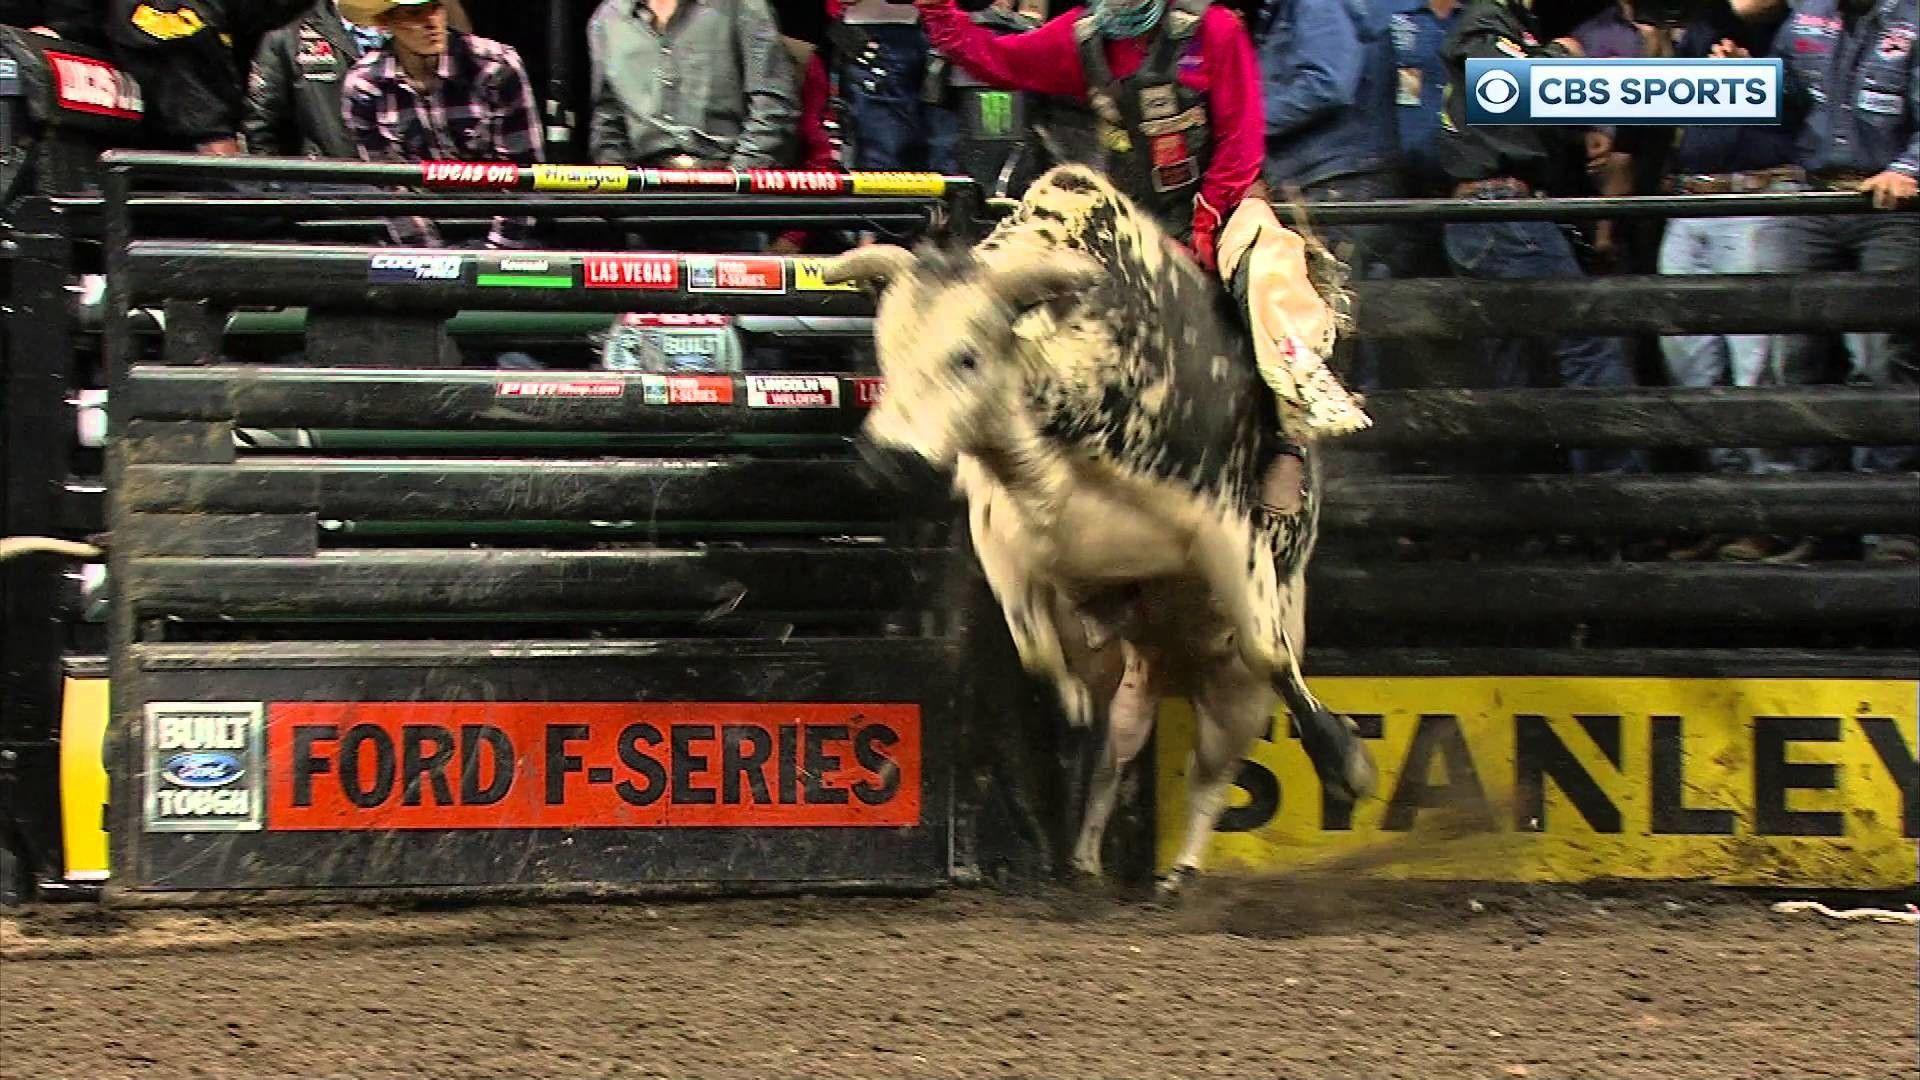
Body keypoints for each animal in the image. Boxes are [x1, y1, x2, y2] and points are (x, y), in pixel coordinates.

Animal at [824, 164, 1378, 894]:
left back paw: (1183, 871)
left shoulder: (1227, 530)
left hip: (1236, 682)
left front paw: (1348, 763)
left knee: (1215, 767)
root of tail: (1176, 657)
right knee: (1120, 751)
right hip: (1139, 678)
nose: (886, 456)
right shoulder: (1002, 539)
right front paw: (1072, 706)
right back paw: (1088, 859)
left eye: (967, 357)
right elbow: (1037, 652)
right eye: (885, 350)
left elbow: (1271, 653)